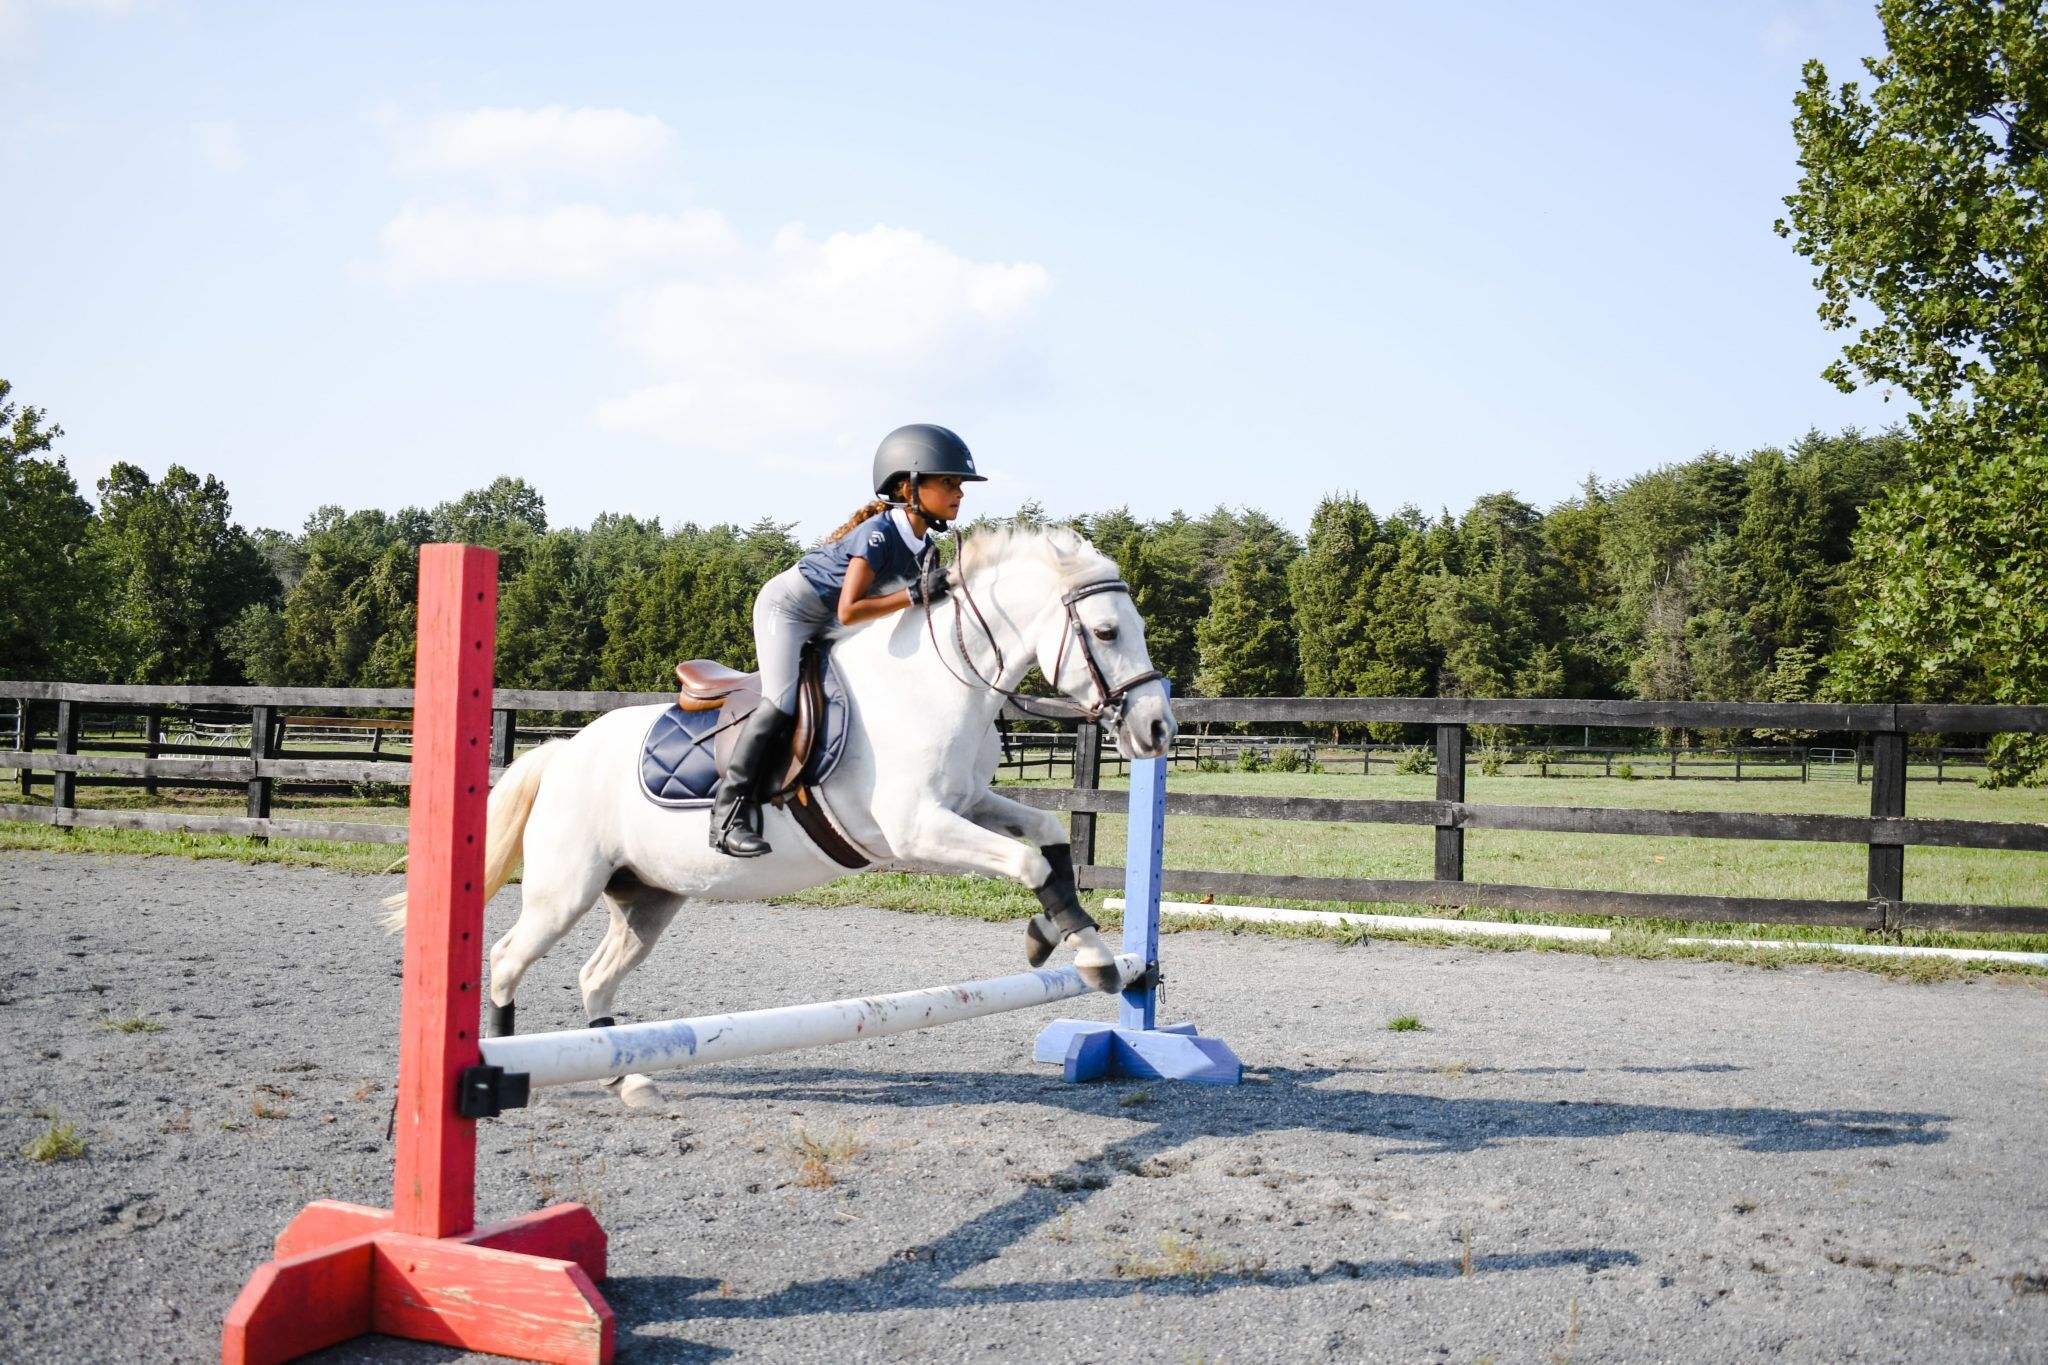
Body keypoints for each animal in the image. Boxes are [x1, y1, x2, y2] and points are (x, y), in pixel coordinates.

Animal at [383, 525, 1176, 1106]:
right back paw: (505, 1063)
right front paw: (1087, 955)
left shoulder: (967, 804)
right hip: (564, 889)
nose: (1158, 730)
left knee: (595, 976)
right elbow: (1026, 859)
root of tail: (563, 752)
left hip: (647, 898)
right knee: (506, 958)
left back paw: (626, 1077)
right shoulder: (917, 828)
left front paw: (1057, 937)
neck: (938, 677)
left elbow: (1046, 839)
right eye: (1107, 632)